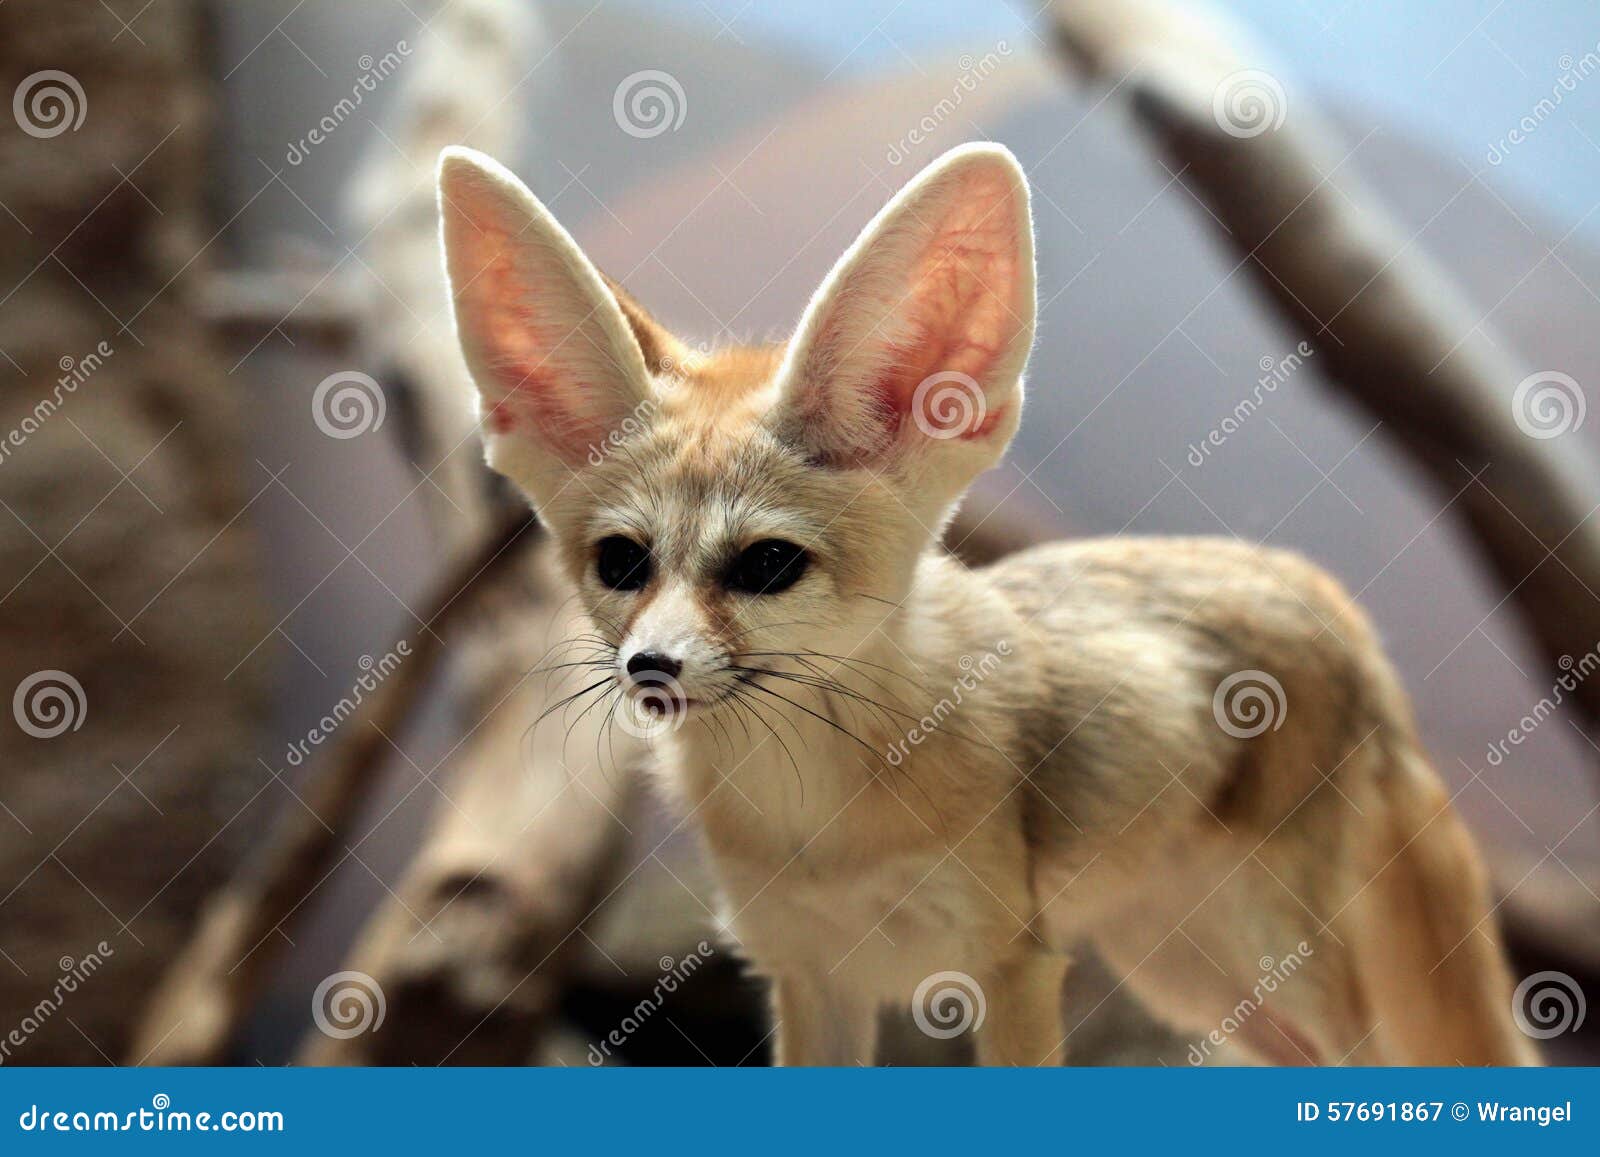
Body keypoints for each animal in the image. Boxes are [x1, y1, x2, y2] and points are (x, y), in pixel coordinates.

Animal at [435, 141, 1536, 1066]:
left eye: (766, 565)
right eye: (622, 561)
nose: (650, 666)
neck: (818, 819)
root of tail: (1321, 587)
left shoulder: (1012, 962)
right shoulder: (811, 976)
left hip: (1279, 964)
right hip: (1190, 973)